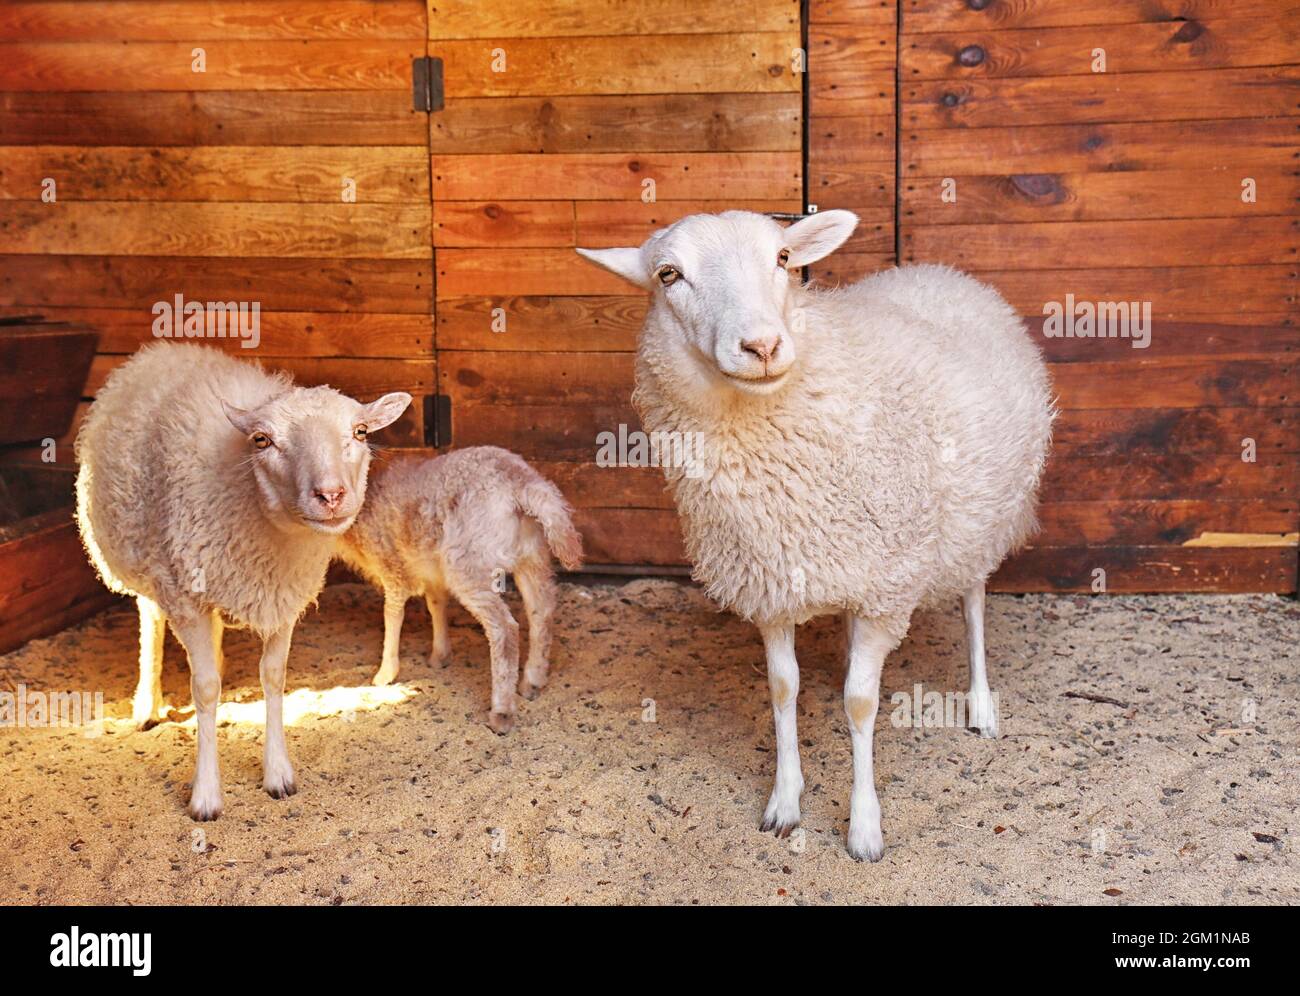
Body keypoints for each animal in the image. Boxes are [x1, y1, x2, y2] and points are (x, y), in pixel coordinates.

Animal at [75, 342, 411, 819]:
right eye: (262, 440)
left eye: (361, 432)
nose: (330, 496)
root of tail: (162, 350)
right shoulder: (184, 595)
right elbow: (203, 688)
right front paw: (205, 795)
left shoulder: (283, 596)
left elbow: (273, 677)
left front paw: (278, 774)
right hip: (149, 554)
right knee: (150, 618)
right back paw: (147, 703)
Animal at [336, 446, 583, 734]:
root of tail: (521, 482)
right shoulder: (433, 570)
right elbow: (436, 604)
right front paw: (440, 655)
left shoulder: (392, 565)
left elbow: (393, 614)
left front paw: (385, 672)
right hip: (532, 555)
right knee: (541, 612)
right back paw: (533, 680)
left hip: (469, 564)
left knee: (505, 629)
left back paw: (502, 712)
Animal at [577, 210, 1053, 861]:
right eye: (667, 274)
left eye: (783, 258)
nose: (761, 346)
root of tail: (942, 272)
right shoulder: (769, 583)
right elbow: (782, 690)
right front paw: (784, 802)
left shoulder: (884, 589)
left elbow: (861, 703)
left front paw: (864, 826)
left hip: (978, 519)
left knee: (974, 603)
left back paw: (980, 704)